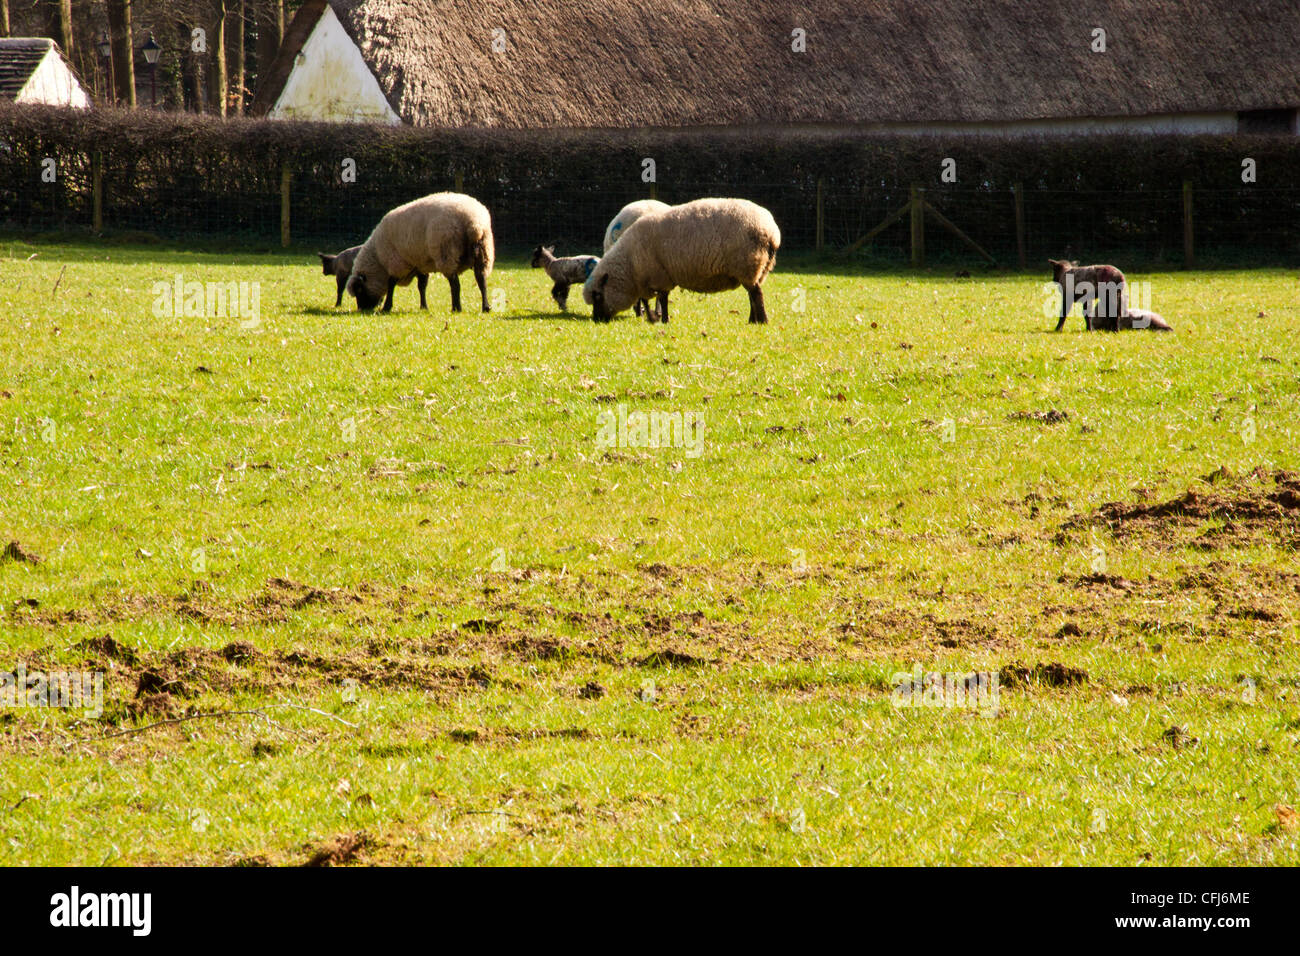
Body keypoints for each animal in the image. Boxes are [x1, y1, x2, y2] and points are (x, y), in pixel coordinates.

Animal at [346, 192, 494, 313]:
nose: (361, 309)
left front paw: (387, 307)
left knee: (455, 284)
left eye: (359, 290)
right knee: (481, 280)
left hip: (447, 254)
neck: (378, 260)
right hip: (484, 252)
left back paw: (456, 308)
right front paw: (423, 307)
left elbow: (391, 284)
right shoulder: (420, 264)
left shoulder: (396, 262)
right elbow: (422, 286)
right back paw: (485, 307)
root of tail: (474, 224)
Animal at [586, 198, 780, 325]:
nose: (596, 320)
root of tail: (772, 232)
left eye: (598, 295)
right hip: (758, 268)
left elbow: (662, 299)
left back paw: (762, 321)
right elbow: (651, 300)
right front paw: (654, 318)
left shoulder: (658, 275)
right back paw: (753, 320)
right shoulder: (649, 278)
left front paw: (662, 319)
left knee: (756, 294)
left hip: (748, 263)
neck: (629, 264)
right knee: (752, 294)